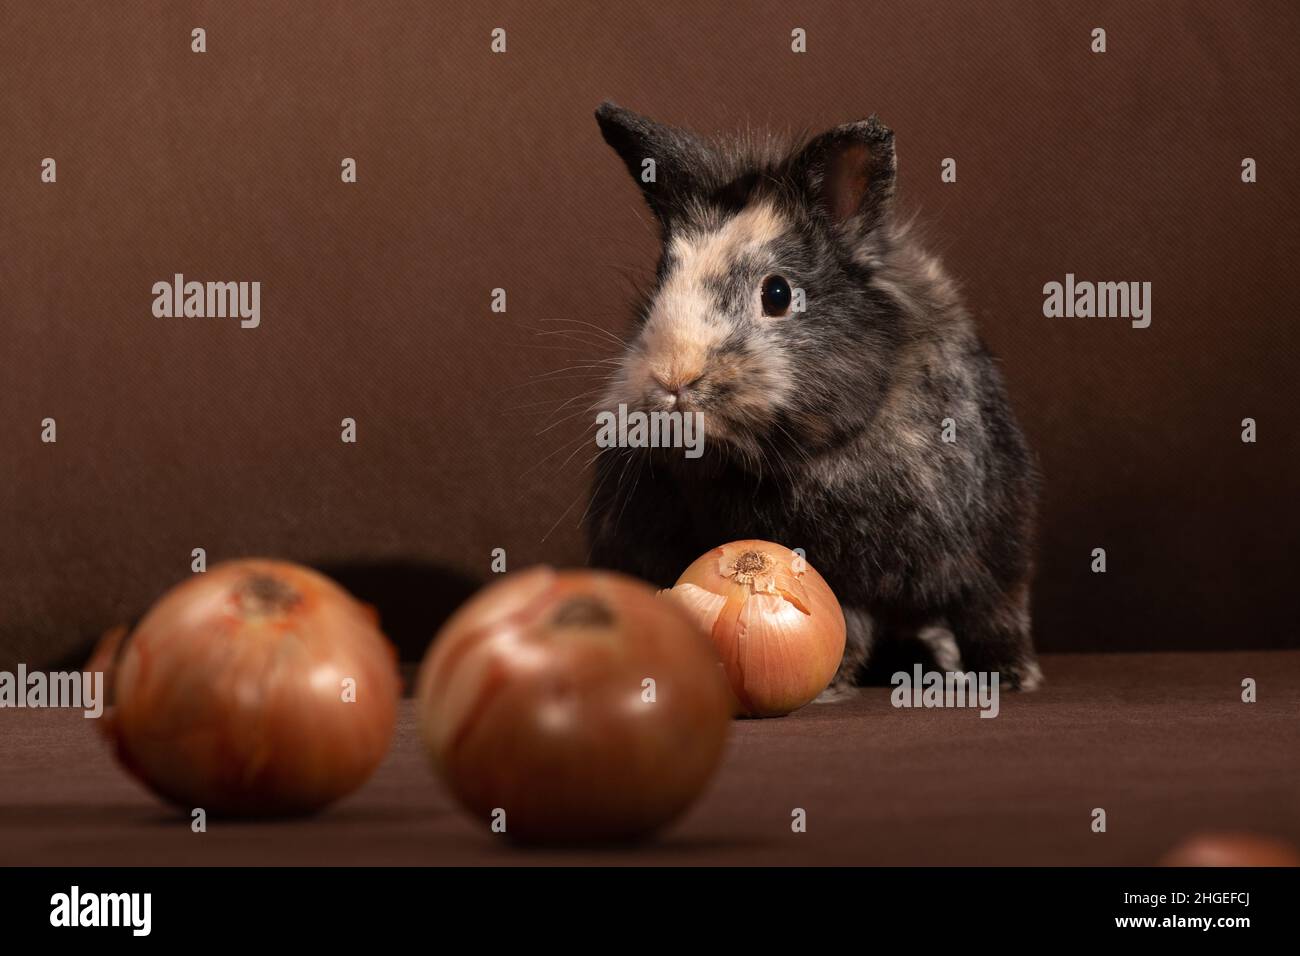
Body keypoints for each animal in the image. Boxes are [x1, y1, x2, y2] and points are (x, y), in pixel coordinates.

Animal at [583, 102, 1042, 694]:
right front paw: (834, 682)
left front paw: (1013, 674)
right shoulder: (835, 575)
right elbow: (848, 622)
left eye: (778, 294)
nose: (673, 379)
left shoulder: (995, 541)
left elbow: (994, 610)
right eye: (658, 286)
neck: (809, 452)